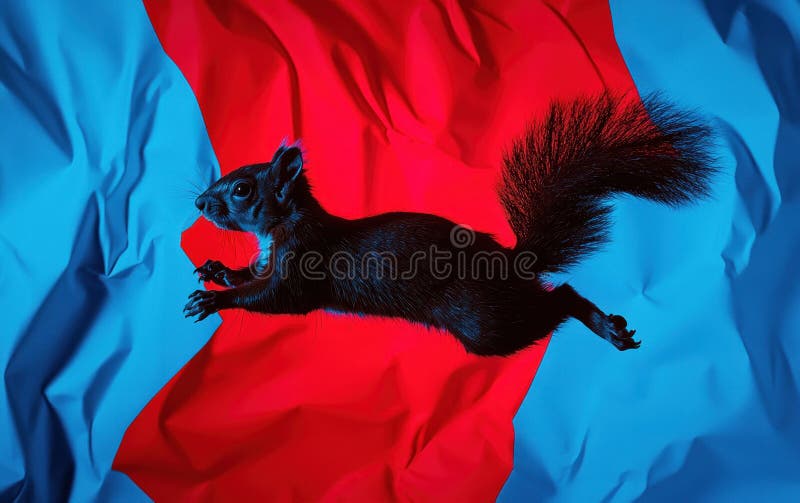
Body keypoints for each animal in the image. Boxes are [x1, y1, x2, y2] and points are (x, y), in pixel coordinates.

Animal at [184, 93, 715, 356]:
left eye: (242, 188)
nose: (199, 201)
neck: (282, 227)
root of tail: (516, 263)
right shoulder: (271, 259)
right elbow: (252, 277)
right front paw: (216, 270)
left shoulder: (302, 263)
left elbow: (273, 298)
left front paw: (214, 301)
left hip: (486, 324)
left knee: (559, 299)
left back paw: (605, 326)